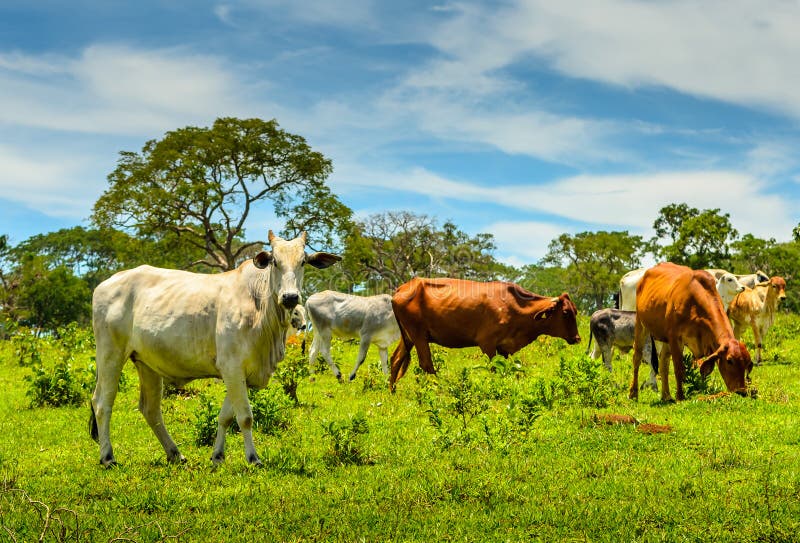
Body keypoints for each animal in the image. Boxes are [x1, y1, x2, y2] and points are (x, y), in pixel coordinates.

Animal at [90, 231, 340, 467]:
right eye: (275, 262)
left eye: (303, 262)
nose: (290, 297)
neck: (259, 305)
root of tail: (106, 283)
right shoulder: (231, 366)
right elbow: (245, 417)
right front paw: (253, 458)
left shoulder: (239, 373)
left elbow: (226, 417)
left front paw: (218, 456)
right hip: (110, 355)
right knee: (102, 404)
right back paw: (108, 457)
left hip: (146, 364)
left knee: (150, 409)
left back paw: (175, 453)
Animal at [389, 278, 581, 391]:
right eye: (565, 312)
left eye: (575, 311)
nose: (577, 338)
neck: (514, 306)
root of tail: (401, 288)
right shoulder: (487, 344)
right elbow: (494, 368)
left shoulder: (504, 348)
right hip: (418, 335)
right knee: (426, 364)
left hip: (408, 337)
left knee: (396, 359)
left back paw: (392, 391)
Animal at [629, 262, 752, 402]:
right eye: (729, 360)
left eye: (747, 362)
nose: (741, 391)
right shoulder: (675, 338)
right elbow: (679, 369)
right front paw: (680, 397)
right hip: (640, 324)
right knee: (637, 357)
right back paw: (633, 393)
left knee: (663, 362)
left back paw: (666, 396)